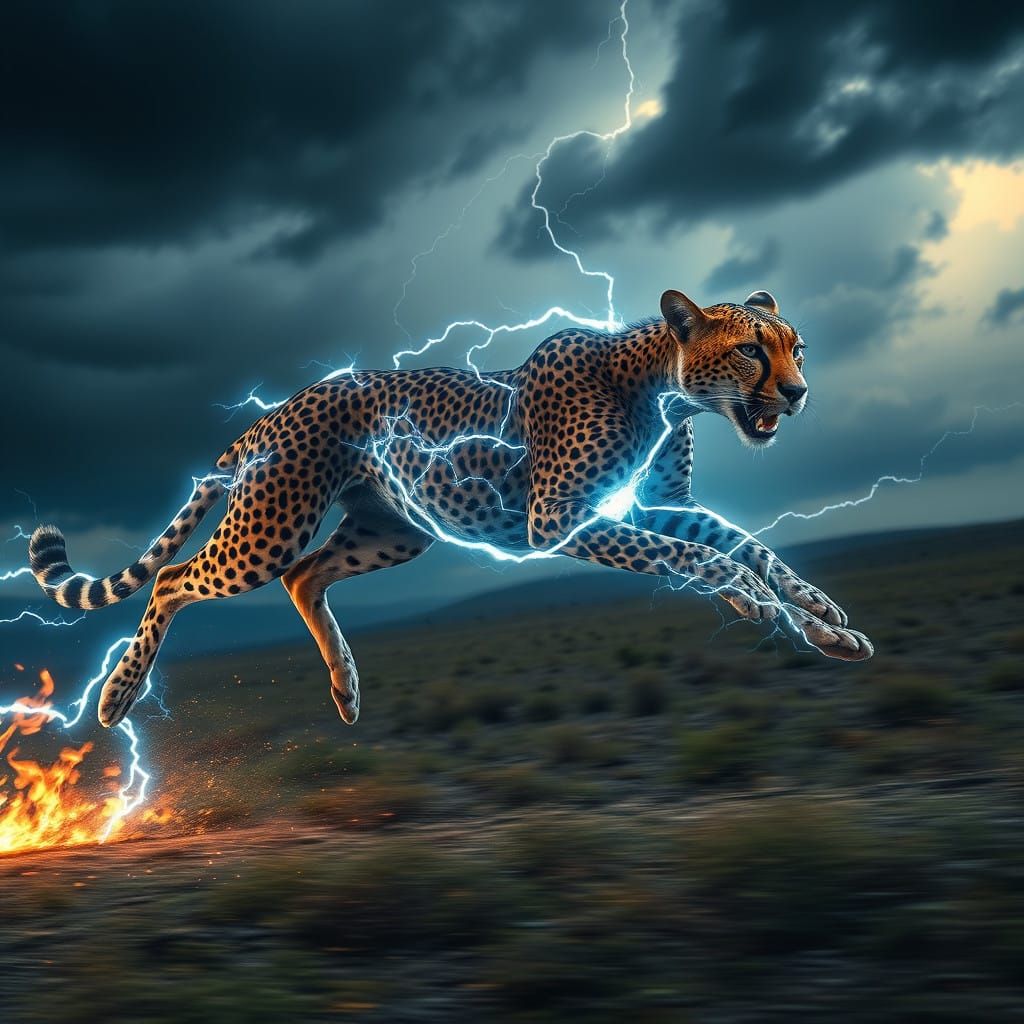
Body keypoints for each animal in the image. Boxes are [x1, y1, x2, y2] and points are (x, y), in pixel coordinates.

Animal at [29, 288, 873, 729]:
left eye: (797, 347)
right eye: (752, 350)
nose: (799, 392)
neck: (667, 393)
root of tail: (268, 417)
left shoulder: (658, 503)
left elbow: (748, 544)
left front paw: (825, 622)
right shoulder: (560, 518)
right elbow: (696, 555)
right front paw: (754, 601)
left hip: (394, 529)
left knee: (305, 577)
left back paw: (346, 687)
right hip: (271, 524)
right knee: (176, 580)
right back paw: (118, 693)